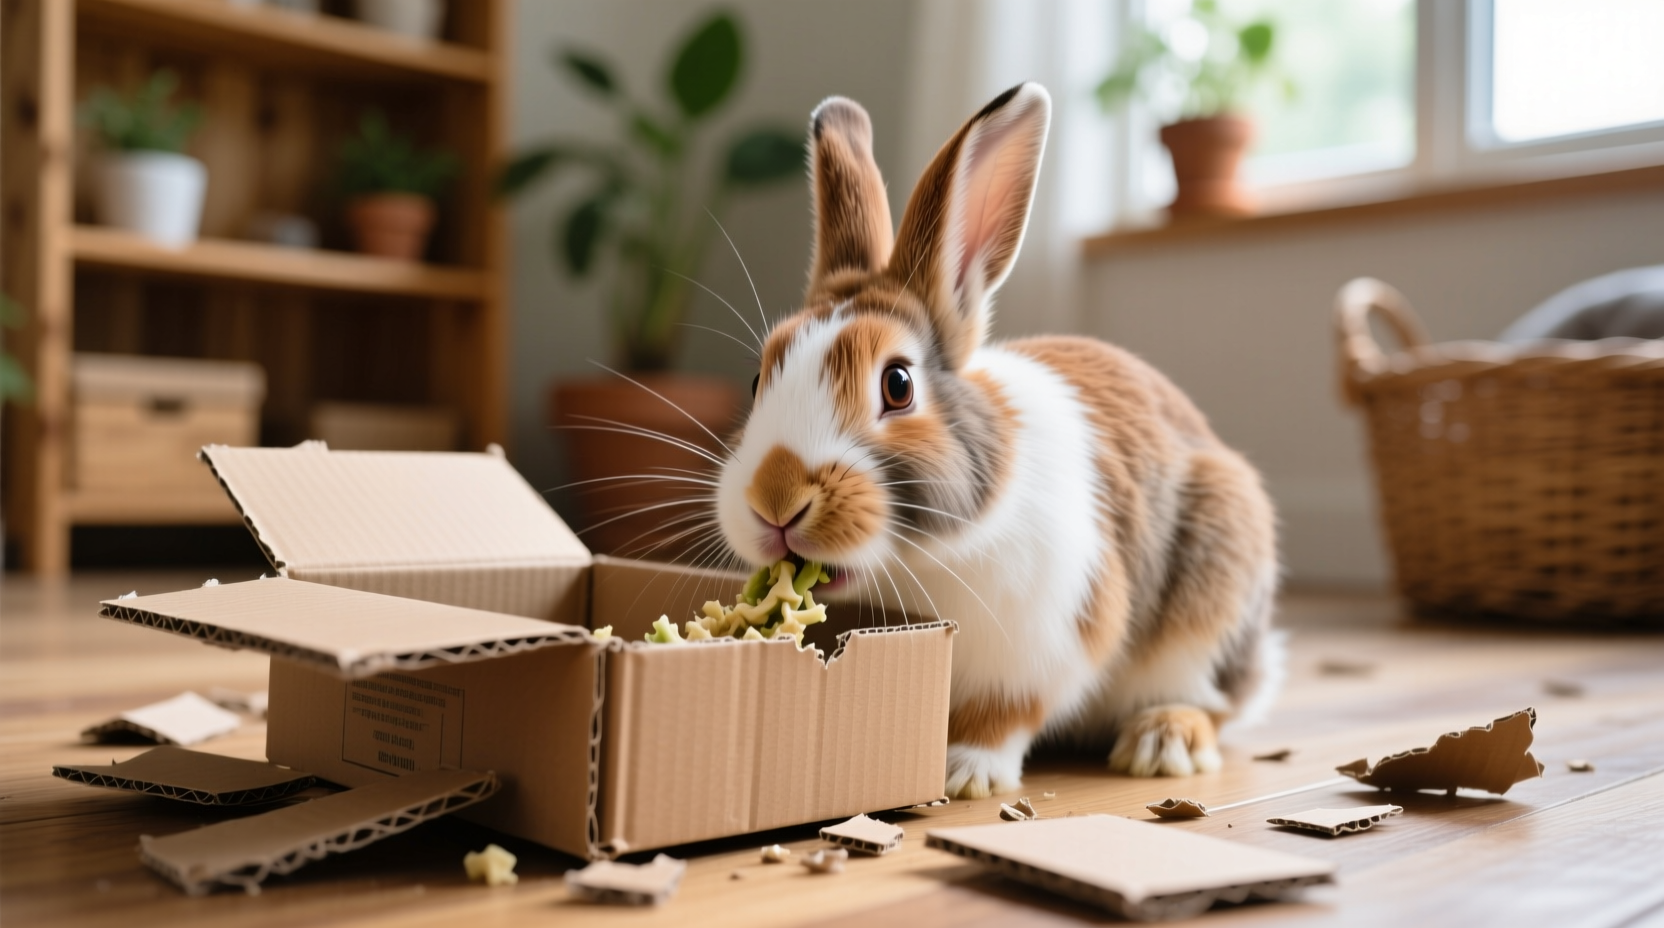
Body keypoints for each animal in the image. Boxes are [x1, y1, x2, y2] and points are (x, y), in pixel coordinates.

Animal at [714, 82, 1280, 799]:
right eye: (758, 377)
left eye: (897, 384)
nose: (775, 501)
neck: (920, 562)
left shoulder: (1048, 639)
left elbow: (1006, 711)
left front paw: (965, 773)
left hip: (1210, 601)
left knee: (1212, 703)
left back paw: (1160, 744)